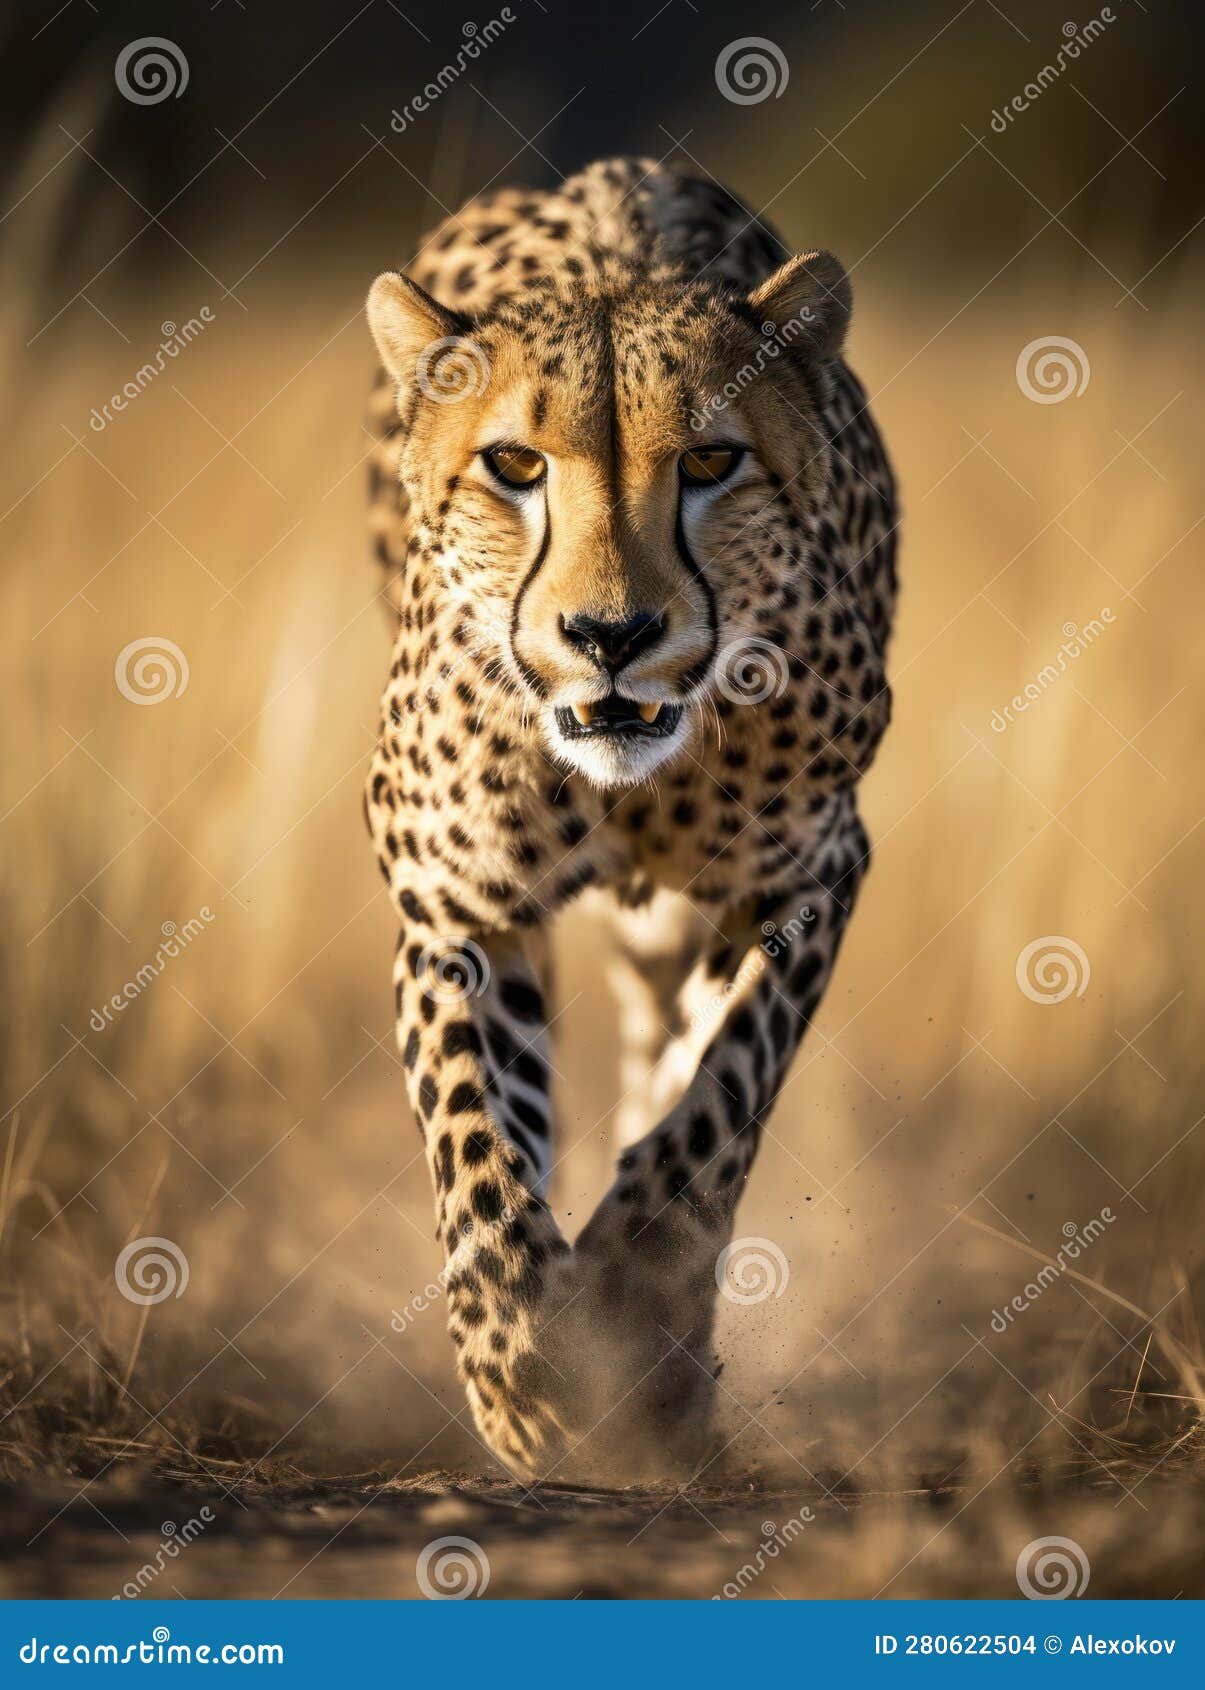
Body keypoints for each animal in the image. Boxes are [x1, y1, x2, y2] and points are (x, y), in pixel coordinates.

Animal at [363, 155, 898, 1484]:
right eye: (513, 465)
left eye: (708, 463)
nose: (611, 635)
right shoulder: (454, 902)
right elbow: (476, 1133)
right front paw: (523, 1367)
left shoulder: (806, 872)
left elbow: (713, 1101)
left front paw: (627, 1311)